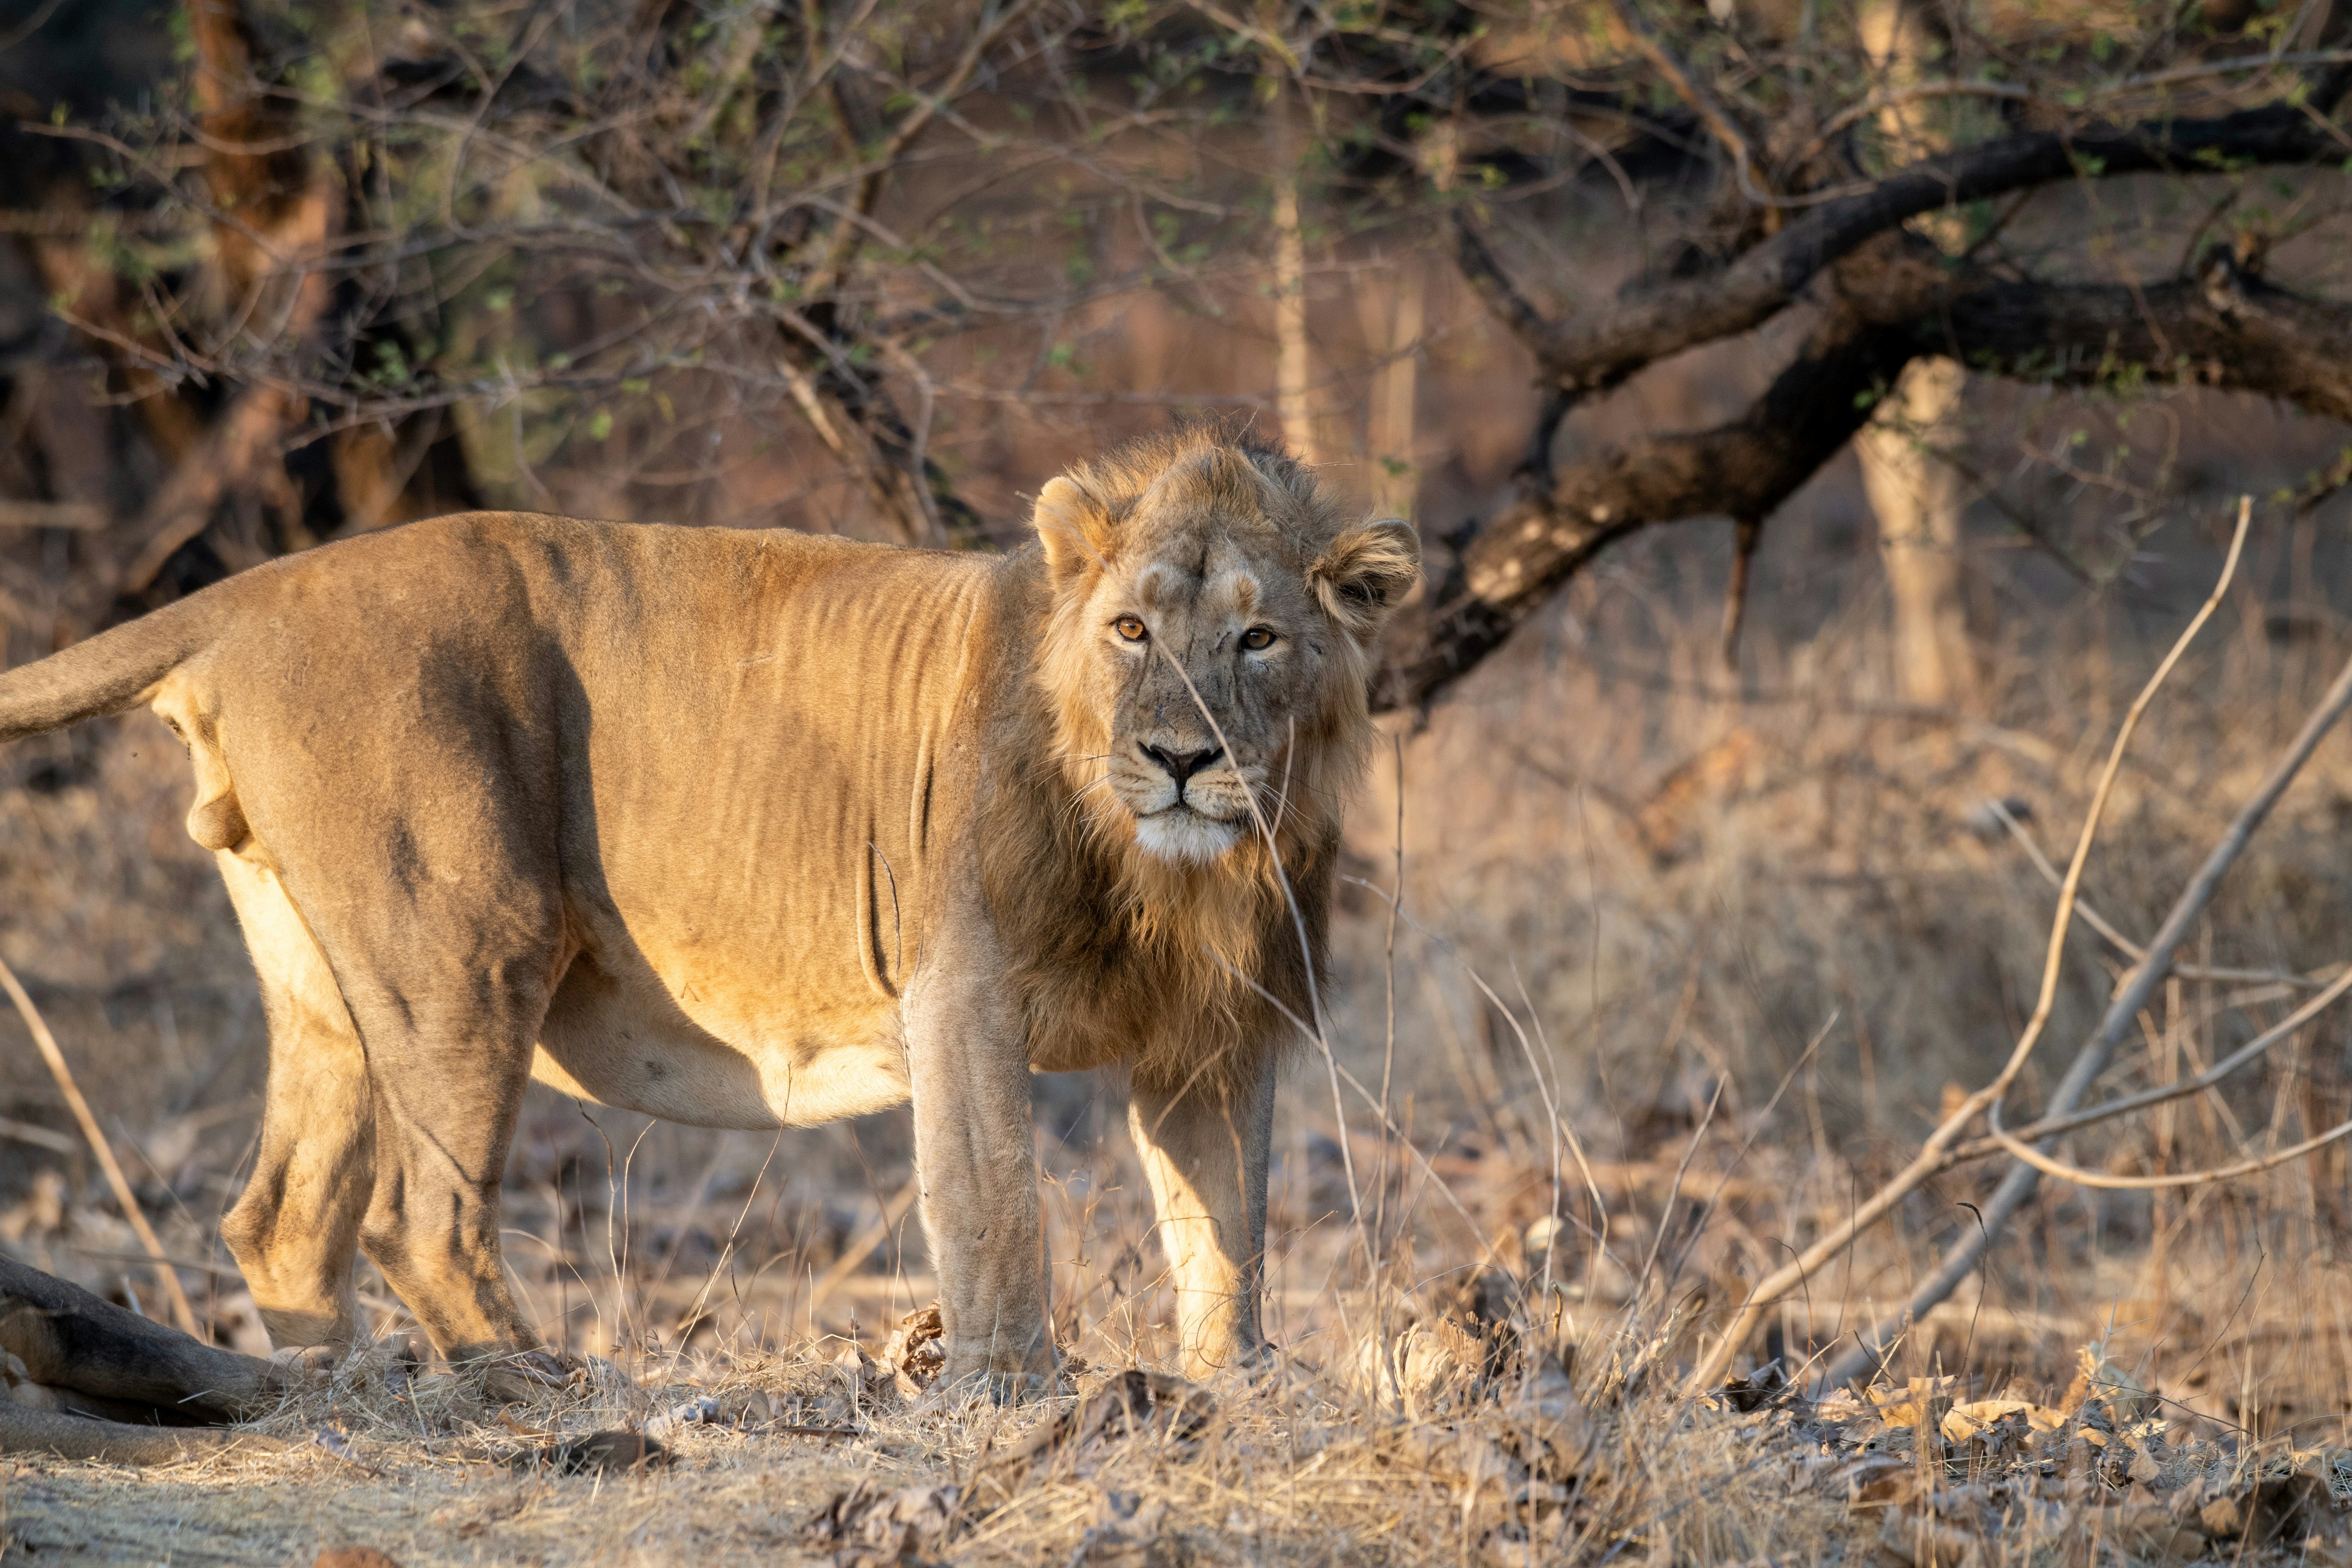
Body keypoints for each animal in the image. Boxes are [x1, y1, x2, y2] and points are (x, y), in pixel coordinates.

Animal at [0, 428, 1418, 1394]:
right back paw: (539, 1389)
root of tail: (254, 588)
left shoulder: (1215, 1035)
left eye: (1257, 640)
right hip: (468, 940)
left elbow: (1225, 1230)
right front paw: (1016, 1391)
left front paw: (1230, 1386)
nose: (1181, 758)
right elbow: (993, 1204)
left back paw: (329, 1393)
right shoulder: (961, 989)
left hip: (327, 985)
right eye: (1130, 630)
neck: (1177, 873)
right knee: (420, 1219)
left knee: (287, 1221)